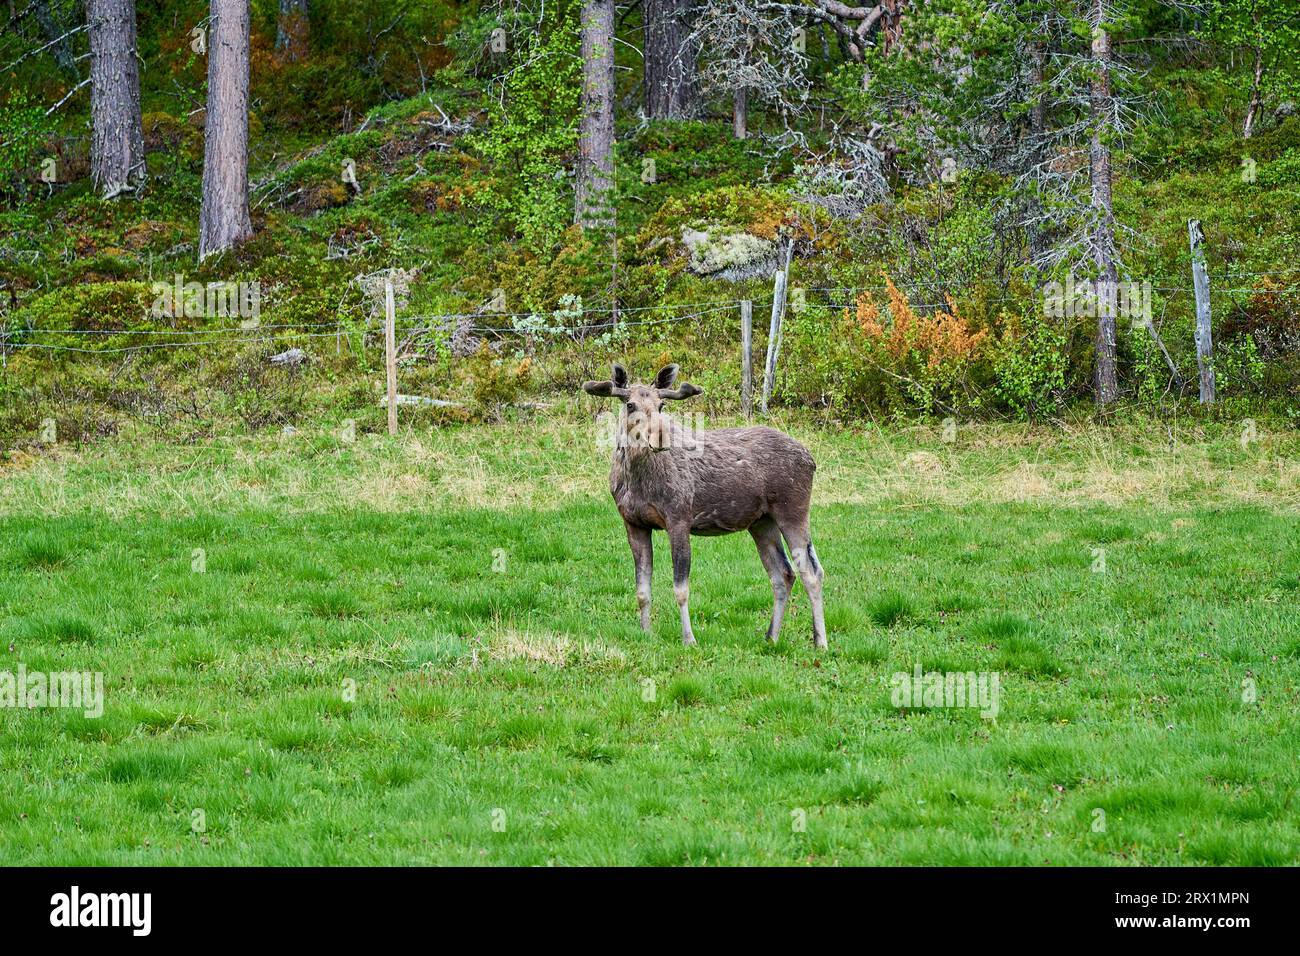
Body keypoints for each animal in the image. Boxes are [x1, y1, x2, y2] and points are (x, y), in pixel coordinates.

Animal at [582, 363, 826, 649]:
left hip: (793, 510)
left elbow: (681, 588)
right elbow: (642, 589)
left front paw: (689, 639)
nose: (660, 437)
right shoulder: (633, 522)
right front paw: (646, 633)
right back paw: (771, 637)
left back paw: (820, 642)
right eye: (630, 405)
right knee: (783, 574)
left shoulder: (679, 518)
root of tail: (811, 460)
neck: (638, 482)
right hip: (761, 522)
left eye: (662, 405)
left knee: (812, 572)